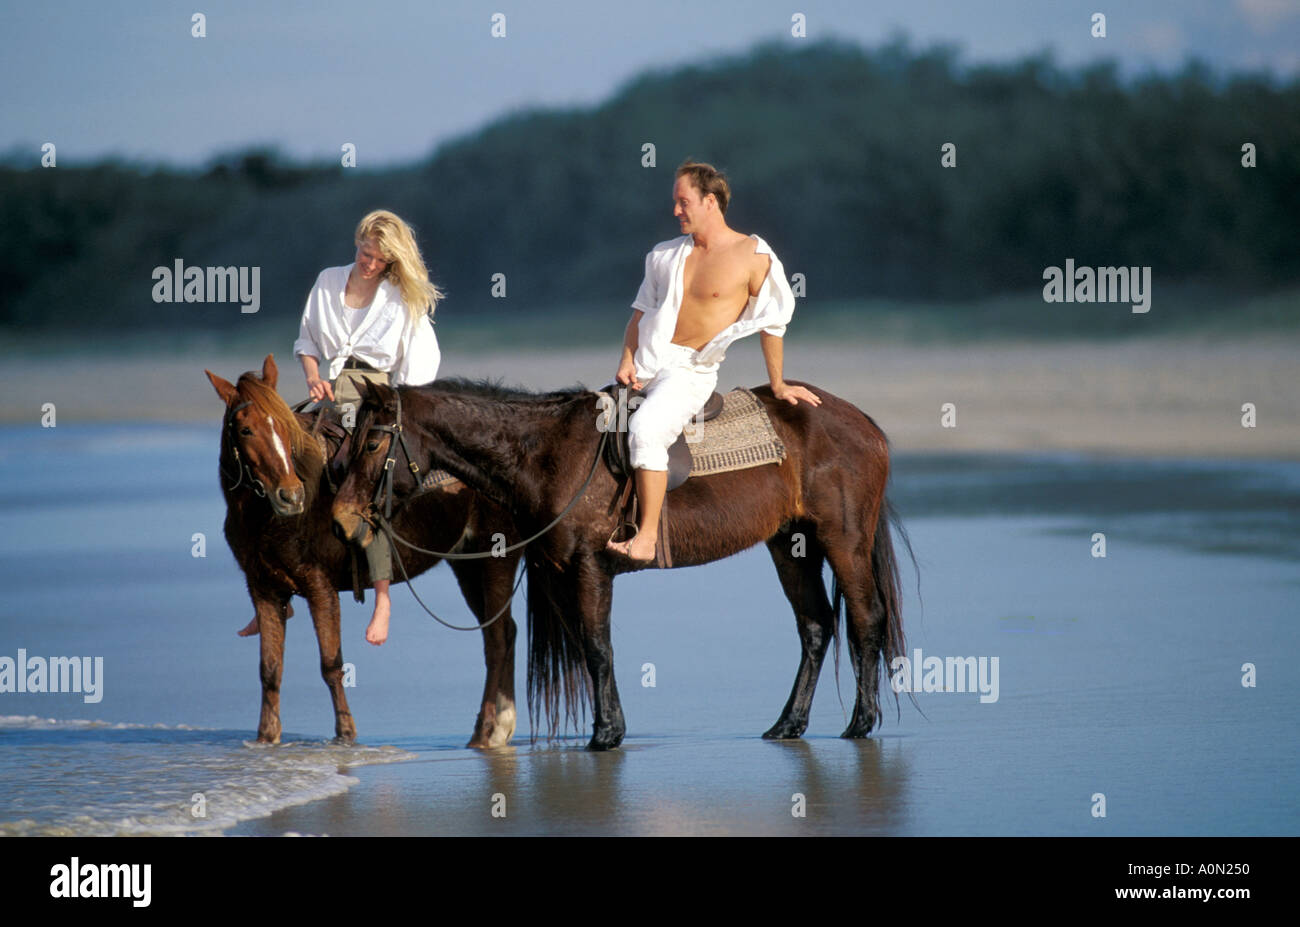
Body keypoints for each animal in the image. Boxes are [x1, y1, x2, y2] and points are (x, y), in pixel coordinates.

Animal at [205, 355, 522, 747]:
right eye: (246, 430)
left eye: (284, 426)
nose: (290, 496)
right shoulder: (263, 588)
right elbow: (270, 668)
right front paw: (266, 737)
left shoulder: (319, 587)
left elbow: (330, 663)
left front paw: (346, 735)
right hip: (467, 565)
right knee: (503, 631)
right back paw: (500, 727)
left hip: (497, 558)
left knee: (497, 637)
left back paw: (485, 732)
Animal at [331, 377, 911, 750]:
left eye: (375, 440)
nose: (341, 517)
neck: (544, 453)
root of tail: (863, 423)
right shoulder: (562, 575)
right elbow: (589, 652)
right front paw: (607, 726)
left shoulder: (590, 568)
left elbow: (597, 648)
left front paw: (607, 734)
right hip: (790, 543)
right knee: (816, 626)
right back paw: (787, 725)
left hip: (842, 539)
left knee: (865, 620)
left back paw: (861, 723)